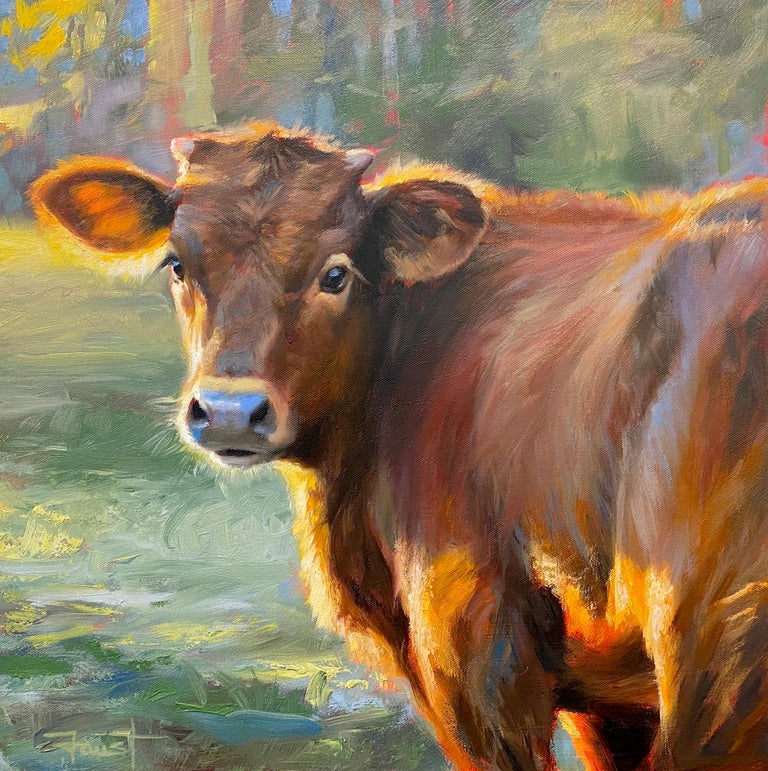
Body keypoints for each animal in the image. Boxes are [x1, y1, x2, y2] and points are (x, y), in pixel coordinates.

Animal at [30, 123, 768, 770]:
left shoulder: (472, 650)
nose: (231, 412)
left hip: (710, 653)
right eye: (178, 264)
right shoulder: (604, 698)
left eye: (336, 274)